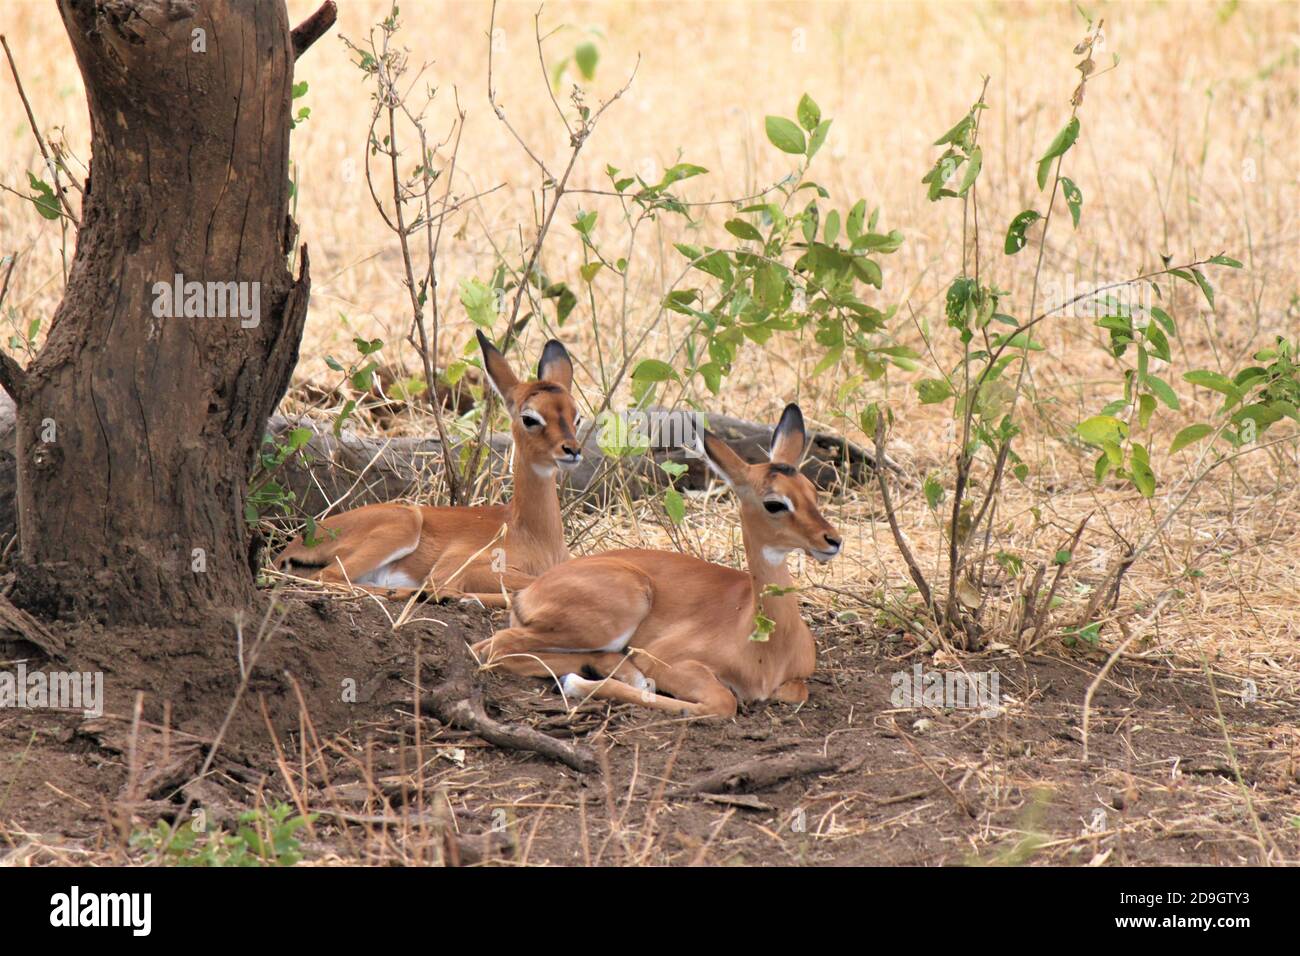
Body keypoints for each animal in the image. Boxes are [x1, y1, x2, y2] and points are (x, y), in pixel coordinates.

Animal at [276, 330, 583, 608]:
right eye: (529, 417)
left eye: (576, 416)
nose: (572, 450)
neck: (535, 536)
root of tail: (294, 546)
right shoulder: (455, 568)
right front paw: (458, 597)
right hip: (403, 526)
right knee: (330, 576)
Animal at [470, 404, 843, 716]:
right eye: (775, 503)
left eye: (811, 491)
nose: (833, 540)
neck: (767, 649)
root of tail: (529, 593)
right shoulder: (671, 662)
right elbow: (723, 702)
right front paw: (581, 685)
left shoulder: (796, 680)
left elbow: (793, 692)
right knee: (493, 647)